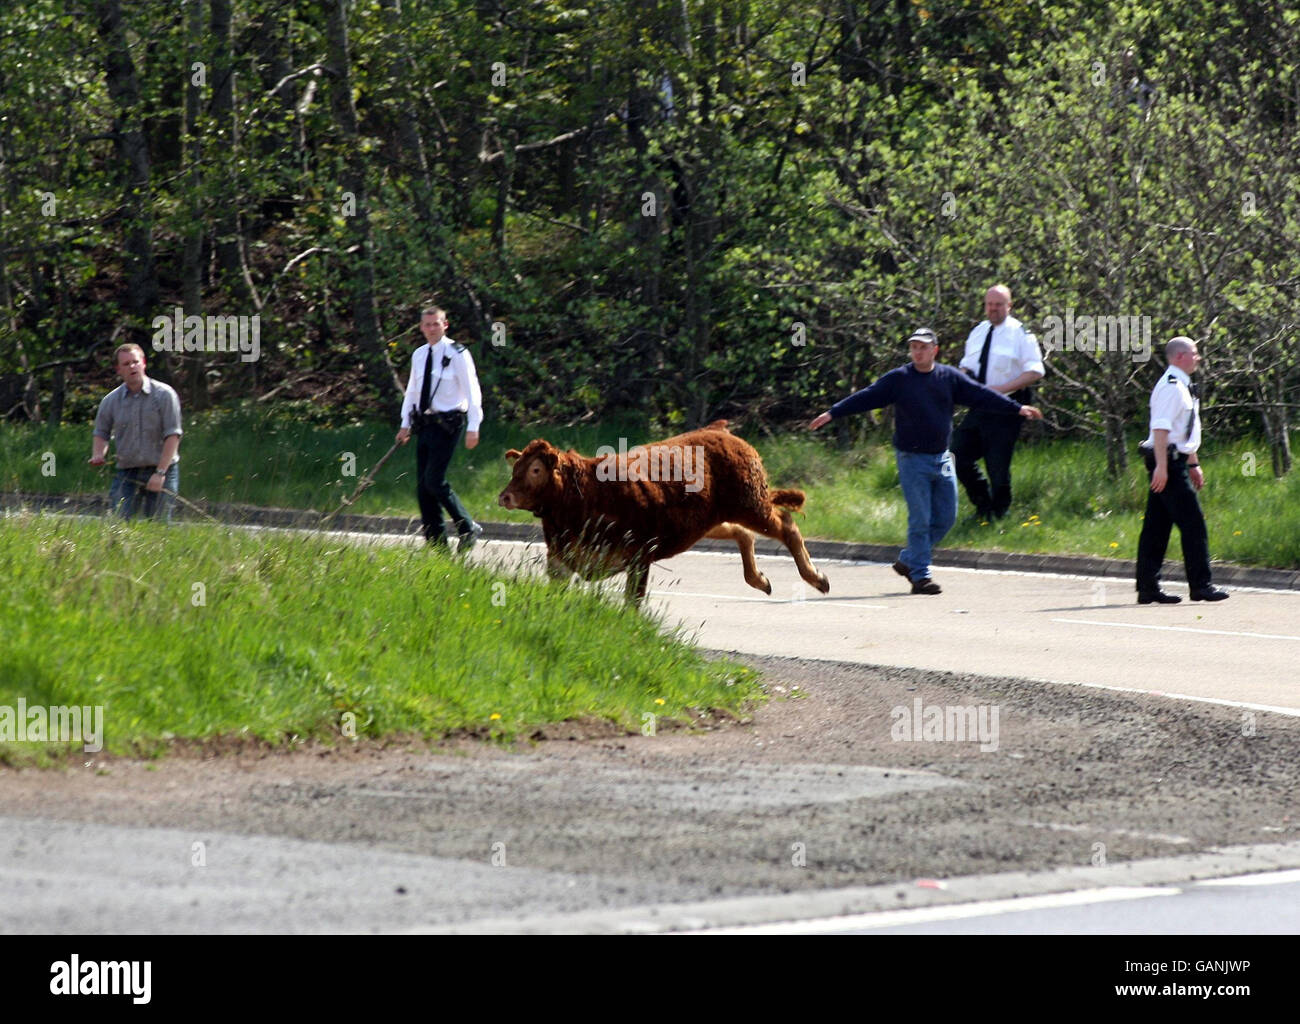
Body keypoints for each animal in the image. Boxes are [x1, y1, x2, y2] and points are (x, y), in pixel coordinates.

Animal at [497, 420, 830, 605]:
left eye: (536, 469)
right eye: (515, 468)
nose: (504, 496)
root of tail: (719, 430)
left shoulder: (639, 555)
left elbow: (633, 601)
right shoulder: (559, 559)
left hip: (751, 505)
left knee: (786, 525)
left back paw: (817, 578)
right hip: (711, 520)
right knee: (743, 534)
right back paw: (760, 579)